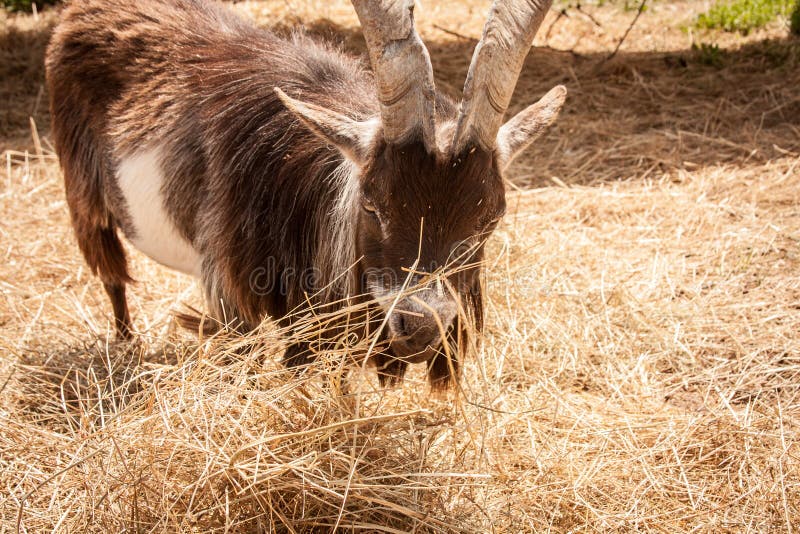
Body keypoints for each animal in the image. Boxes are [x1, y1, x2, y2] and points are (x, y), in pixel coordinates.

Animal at [45, 0, 566, 387]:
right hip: (83, 193)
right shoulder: (231, 296)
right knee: (111, 274)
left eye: (490, 220)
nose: (420, 329)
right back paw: (125, 344)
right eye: (372, 204)